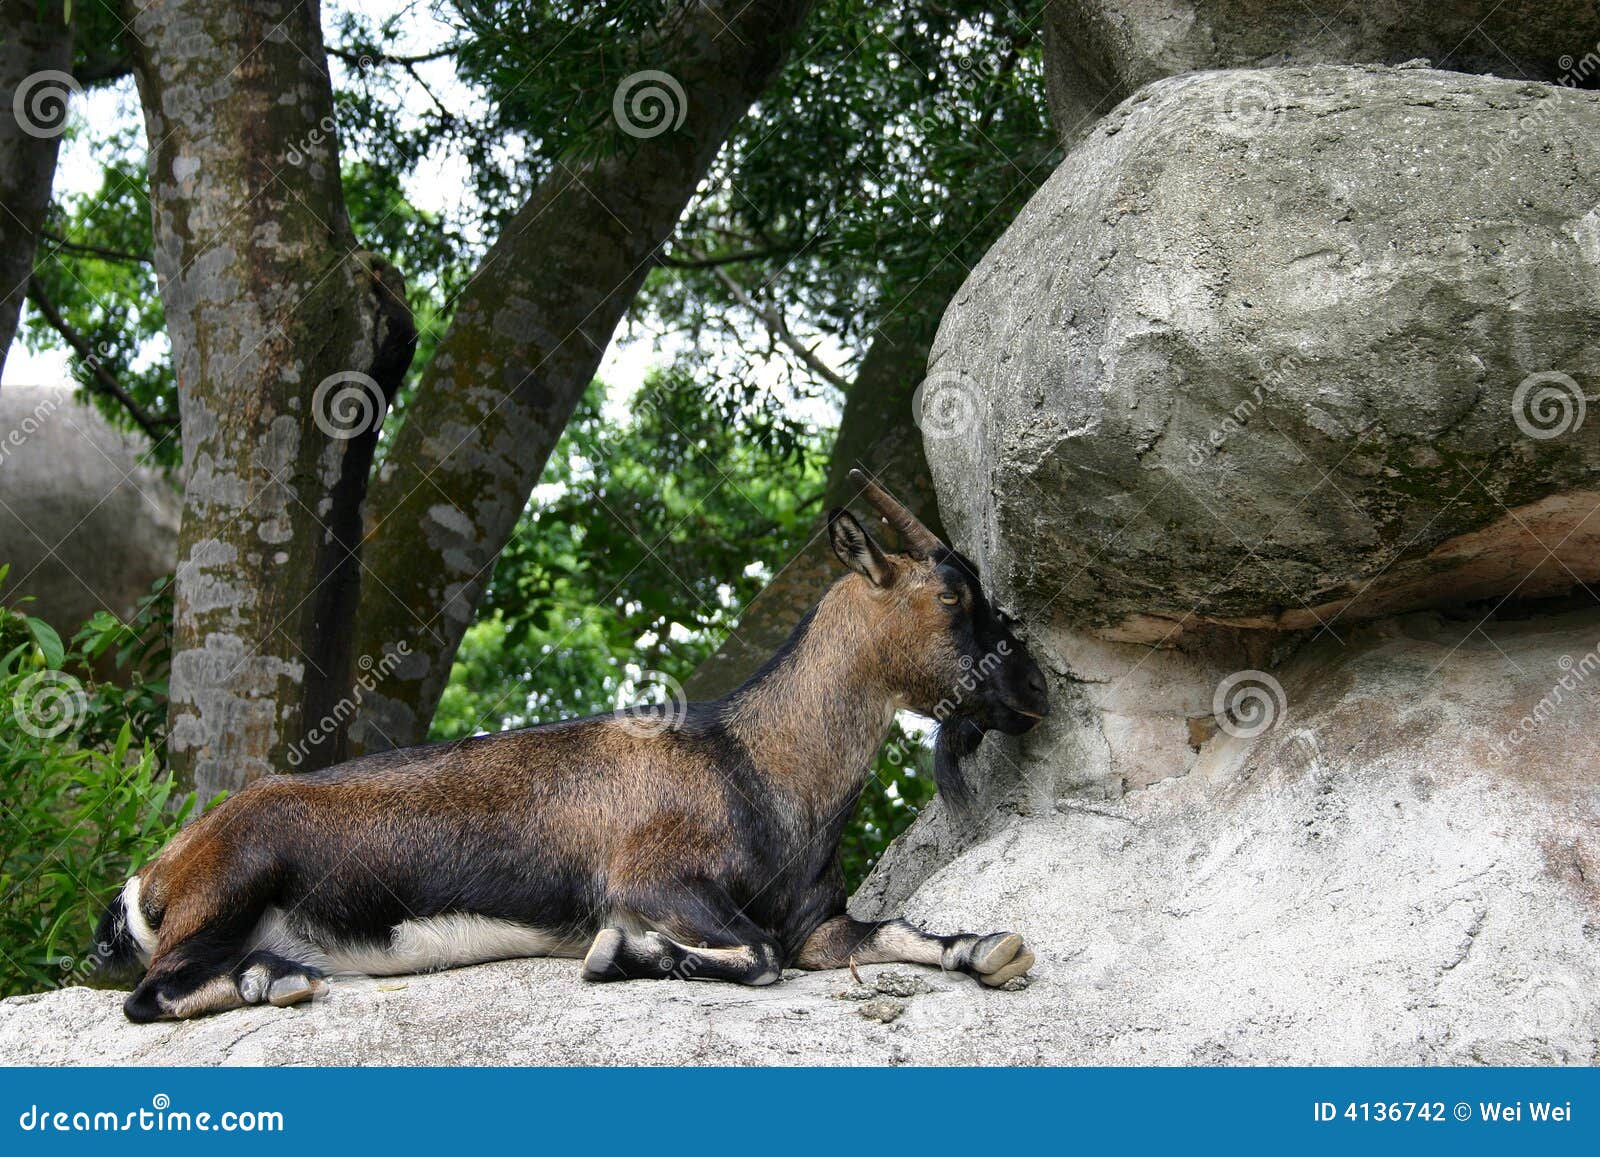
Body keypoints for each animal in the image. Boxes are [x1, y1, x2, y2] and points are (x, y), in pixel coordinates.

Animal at [95, 472, 1051, 1021]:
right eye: (953, 595)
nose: (1034, 690)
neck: (757, 764)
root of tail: (153, 873)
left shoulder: (820, 921)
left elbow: (895, 930)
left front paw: (990, 950)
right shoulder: (654, 880)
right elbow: (758, 956)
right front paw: (621, 955)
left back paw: (273, 975)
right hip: (234, 882)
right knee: (148, 995)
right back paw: (276, 982)